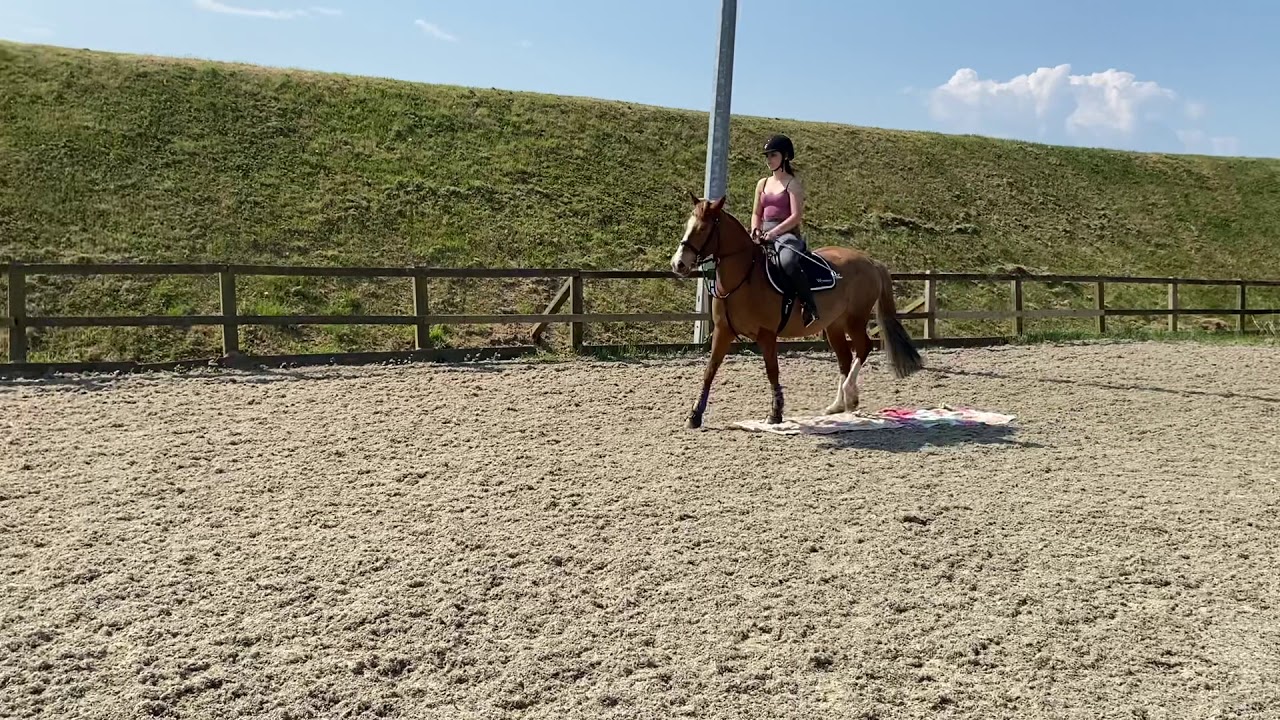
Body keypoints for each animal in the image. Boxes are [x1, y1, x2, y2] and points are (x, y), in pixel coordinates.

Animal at [669, 194, 924, 429]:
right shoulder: (723, 332)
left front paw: (775, 413)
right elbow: (709, 371)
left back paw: (850, 395)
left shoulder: (766, 335)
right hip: (834, 326)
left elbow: (772, 371)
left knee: (863, 348)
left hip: (855, 319)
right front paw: (694, 416)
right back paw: (837, 404)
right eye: (688, 225)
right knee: (845, 358)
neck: (744, 277)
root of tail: (870, 261)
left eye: (702, 228)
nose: (678, 264)